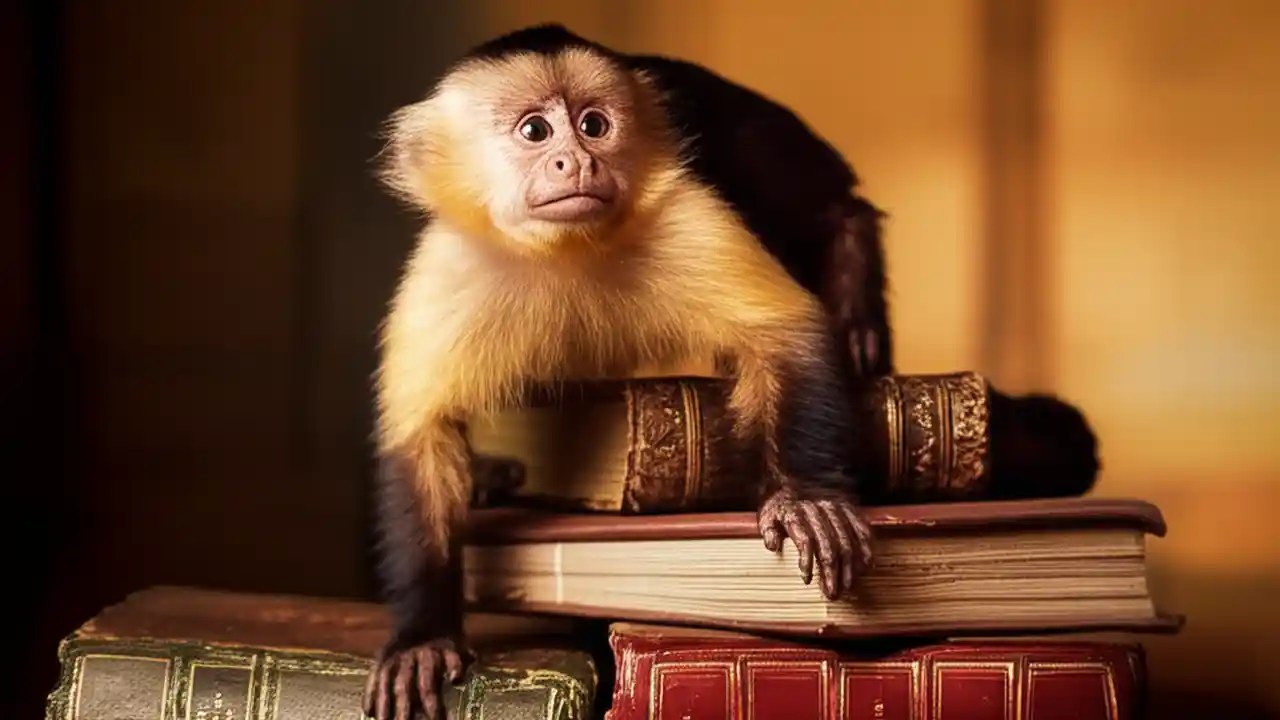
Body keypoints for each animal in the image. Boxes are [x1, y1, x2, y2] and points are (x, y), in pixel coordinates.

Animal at [364, 25, 878, 720]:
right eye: (535, 132)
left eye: (593, 124)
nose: (576, 162)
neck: (565, 249)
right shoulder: (451, 265)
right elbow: (423, 435)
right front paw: (422, 636)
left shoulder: (686, 217)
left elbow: (787, 335)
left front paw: (806, 499)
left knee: (832, 209)